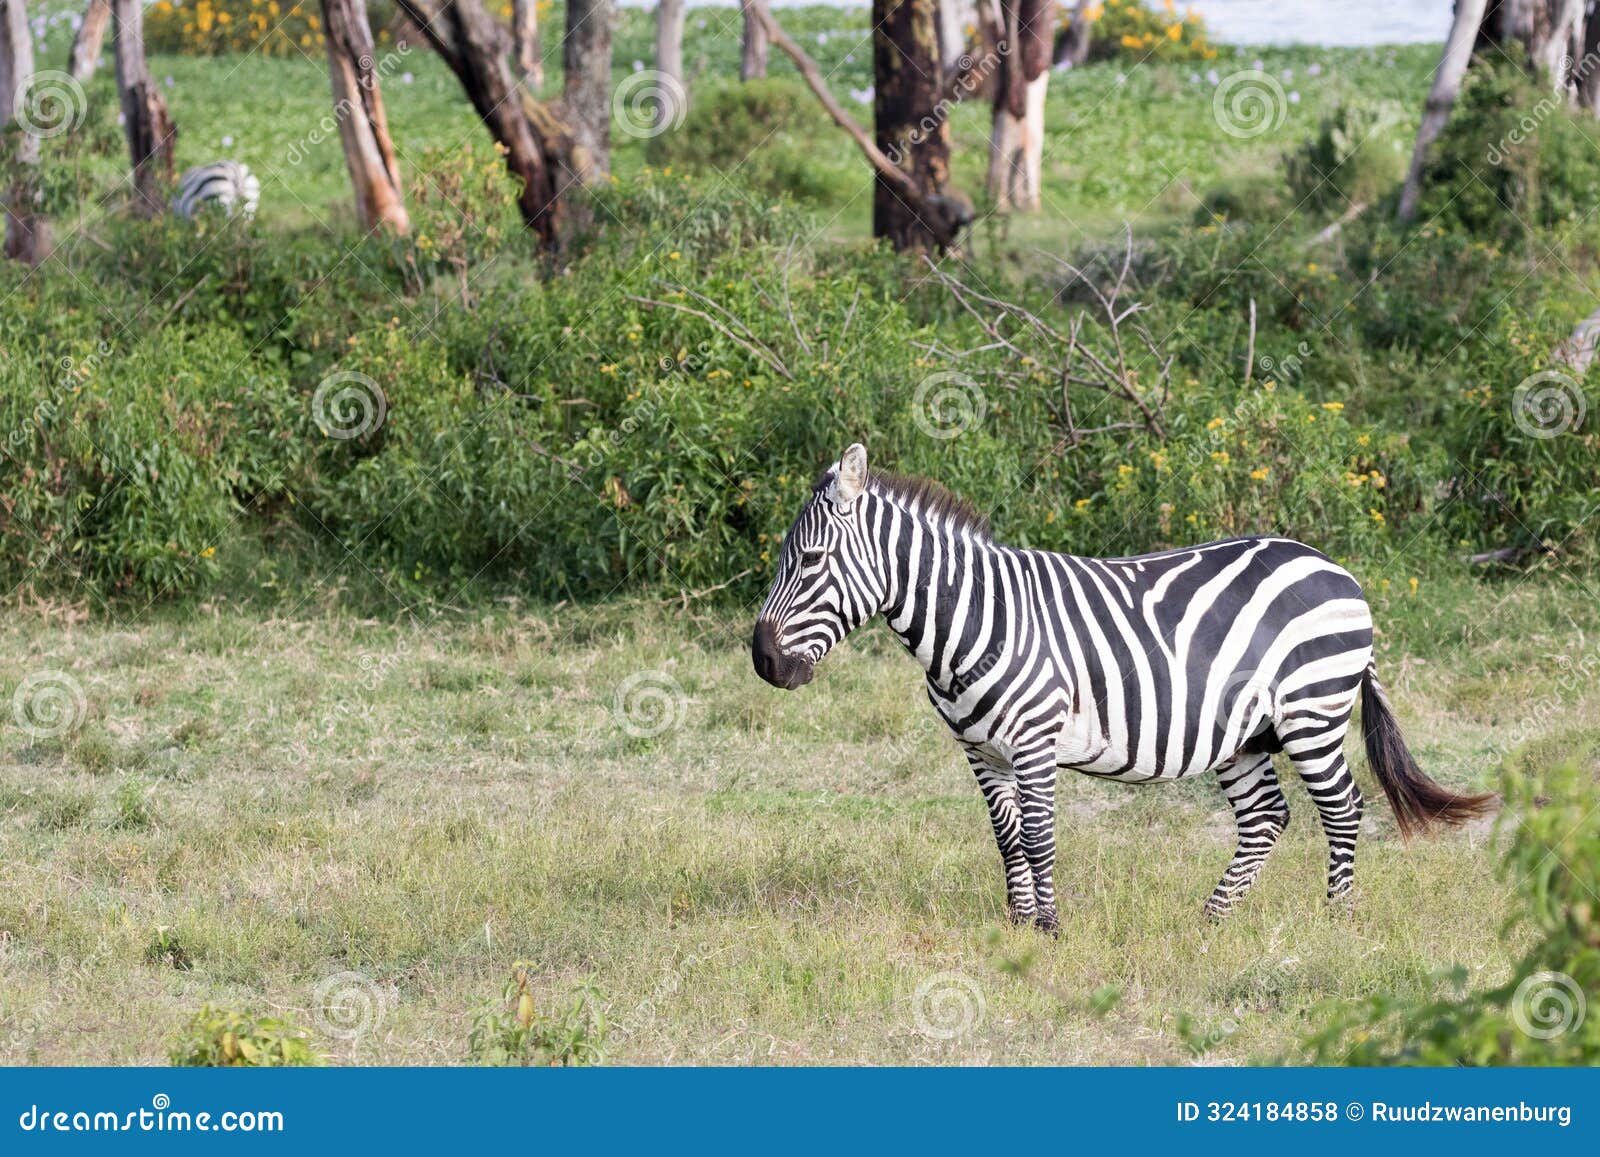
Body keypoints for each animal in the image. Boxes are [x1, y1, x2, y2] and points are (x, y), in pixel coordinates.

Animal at [752, 443, 1492, 931]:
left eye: (810, 559)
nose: (763, 661)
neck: (973, 618)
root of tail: (1336, 569)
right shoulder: (979, 751)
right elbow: (1007, 837)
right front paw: (1017, 926)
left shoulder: (1035, 738)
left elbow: (1041, 834)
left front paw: (1050, 933)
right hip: (1246, 734)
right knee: (1266, 817)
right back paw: (1209, 921)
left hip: (1311, 712)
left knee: (1343, 808)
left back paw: (1337, 917)